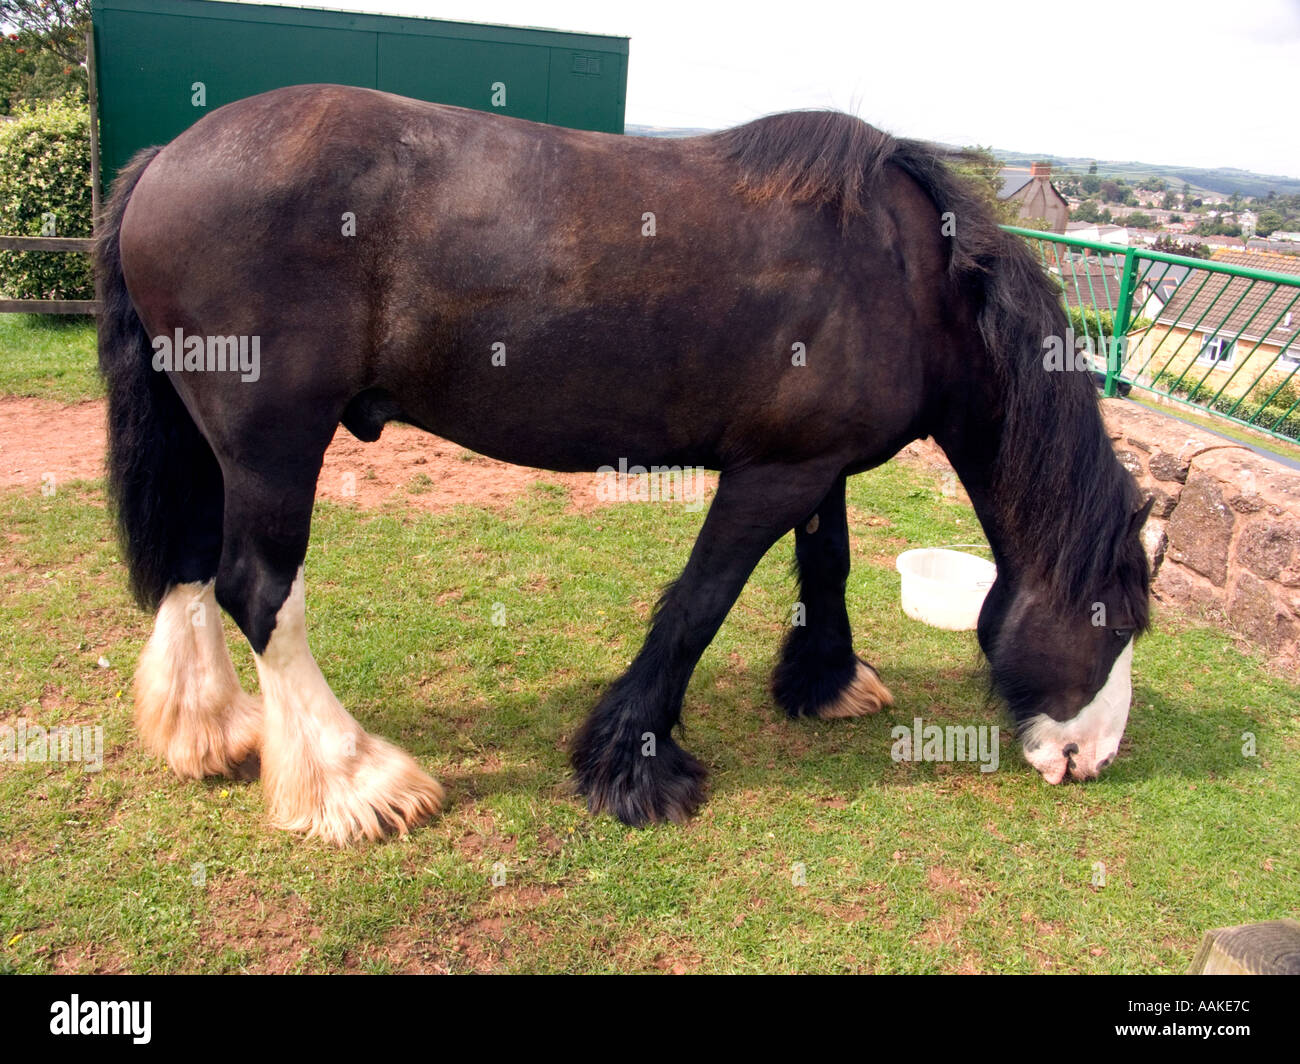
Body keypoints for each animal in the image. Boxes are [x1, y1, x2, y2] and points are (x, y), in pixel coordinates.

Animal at [96, 84, 1151, 846]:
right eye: (1116, 618)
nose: (1091, 760)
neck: (907, 277)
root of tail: (166, 160)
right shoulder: (772, 474)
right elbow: (700, 602)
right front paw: (633, 761)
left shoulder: (821, 465)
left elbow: (828, 565)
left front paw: (827, 682)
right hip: (274, 444)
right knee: (259, 588)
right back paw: (353, 782)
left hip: (216, 441)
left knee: (192, 562)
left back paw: (212, 731)